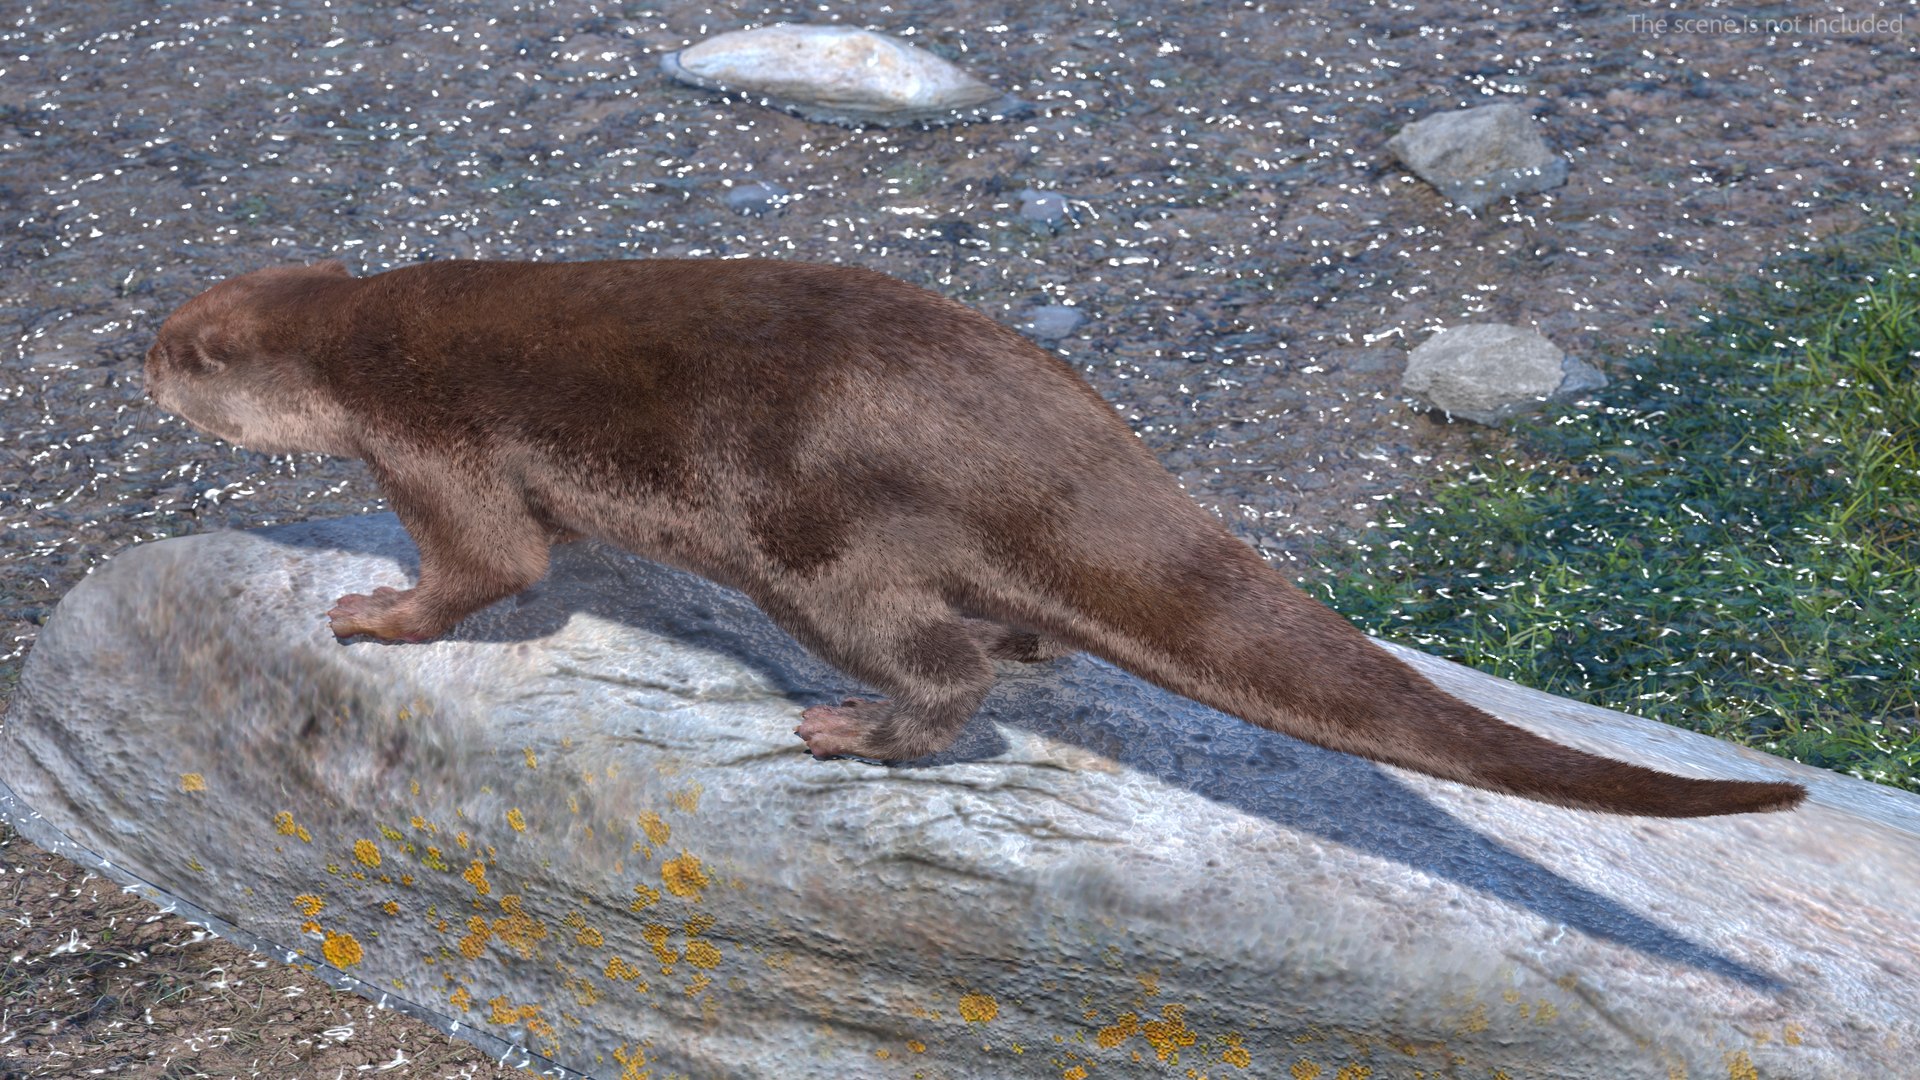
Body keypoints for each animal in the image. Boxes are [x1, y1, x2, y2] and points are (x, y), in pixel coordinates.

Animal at [144, 258, 1805, 817]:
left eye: (176, 350)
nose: (137, 362)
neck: (353, 335)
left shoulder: (423, 433)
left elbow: (494, 571)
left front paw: (369, 614)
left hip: (814, 546)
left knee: (946, 675)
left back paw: (853, 728)